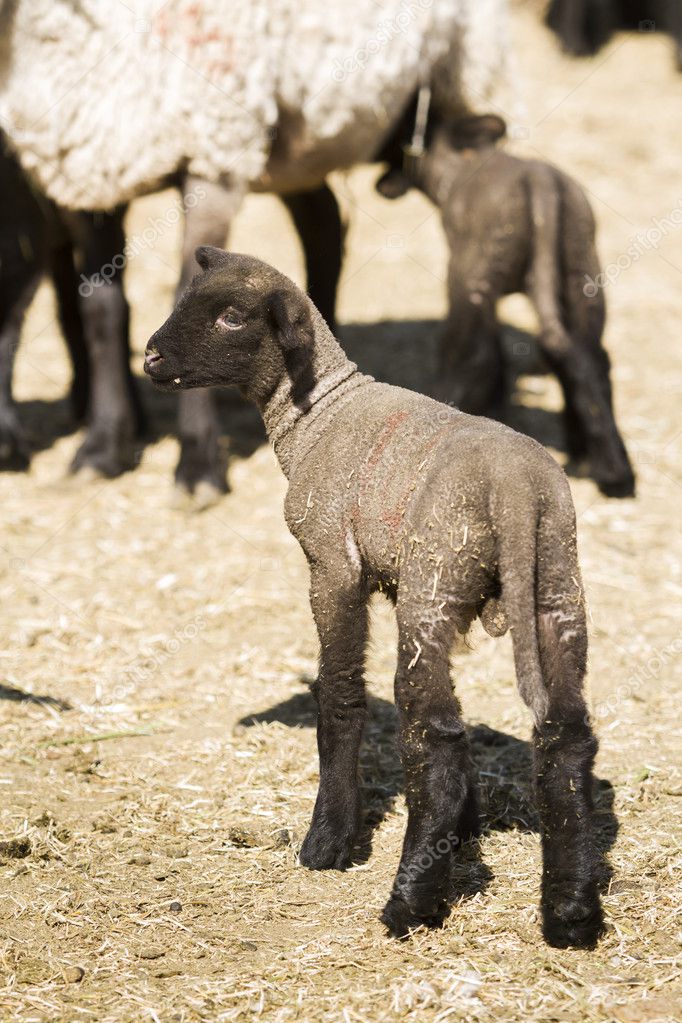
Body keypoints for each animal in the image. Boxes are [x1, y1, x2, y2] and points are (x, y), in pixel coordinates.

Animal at [0, 0, 518, 499]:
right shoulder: (89, 169)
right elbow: (101, 313)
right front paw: (102, 450)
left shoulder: (214, 153)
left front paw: (197, 466)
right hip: (303, 150)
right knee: (324, 224)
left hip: (466, 76)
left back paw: (485, 387)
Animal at [143, 246, 605, 948]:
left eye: (230, 317)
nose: (150, 358)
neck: (317, 414)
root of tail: (516, 492)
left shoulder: (332, 563)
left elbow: (338, 694)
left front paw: (330, 841)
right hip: (552, 585)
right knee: (566, 739)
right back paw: (571, 914)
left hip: (435, 585)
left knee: (434, 739)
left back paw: (408, 904)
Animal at [373, 110, 636, 498]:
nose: (381, 183)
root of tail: (541, 186)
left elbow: (487, 353)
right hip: (582, 273)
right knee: (586, 356)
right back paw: (611, 470)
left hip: (472, 274)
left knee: (472, 354)